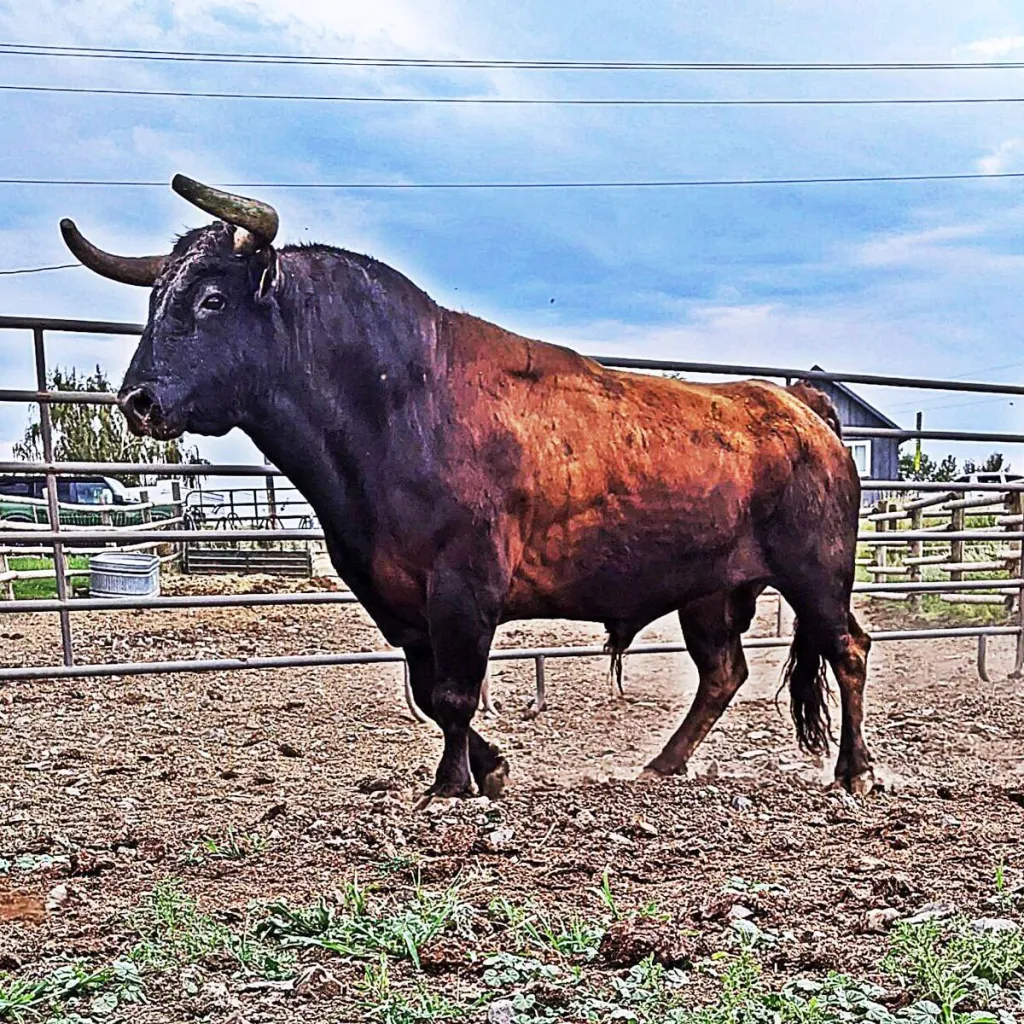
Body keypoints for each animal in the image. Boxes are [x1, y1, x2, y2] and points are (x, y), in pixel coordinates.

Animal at [60, 175, 874, 802]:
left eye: (211, 301)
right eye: (154, 299)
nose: (137, 400)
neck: (400, 400)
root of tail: (800, 406)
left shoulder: (463, 584)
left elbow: (453, 691)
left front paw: (451, 787)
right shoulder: (393, 595)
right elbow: (430, 693)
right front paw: (491, 767)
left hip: (816, 571)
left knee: (849, 648)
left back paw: (854, 771)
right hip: (706, 585)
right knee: (722, 672)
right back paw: (662, 765)